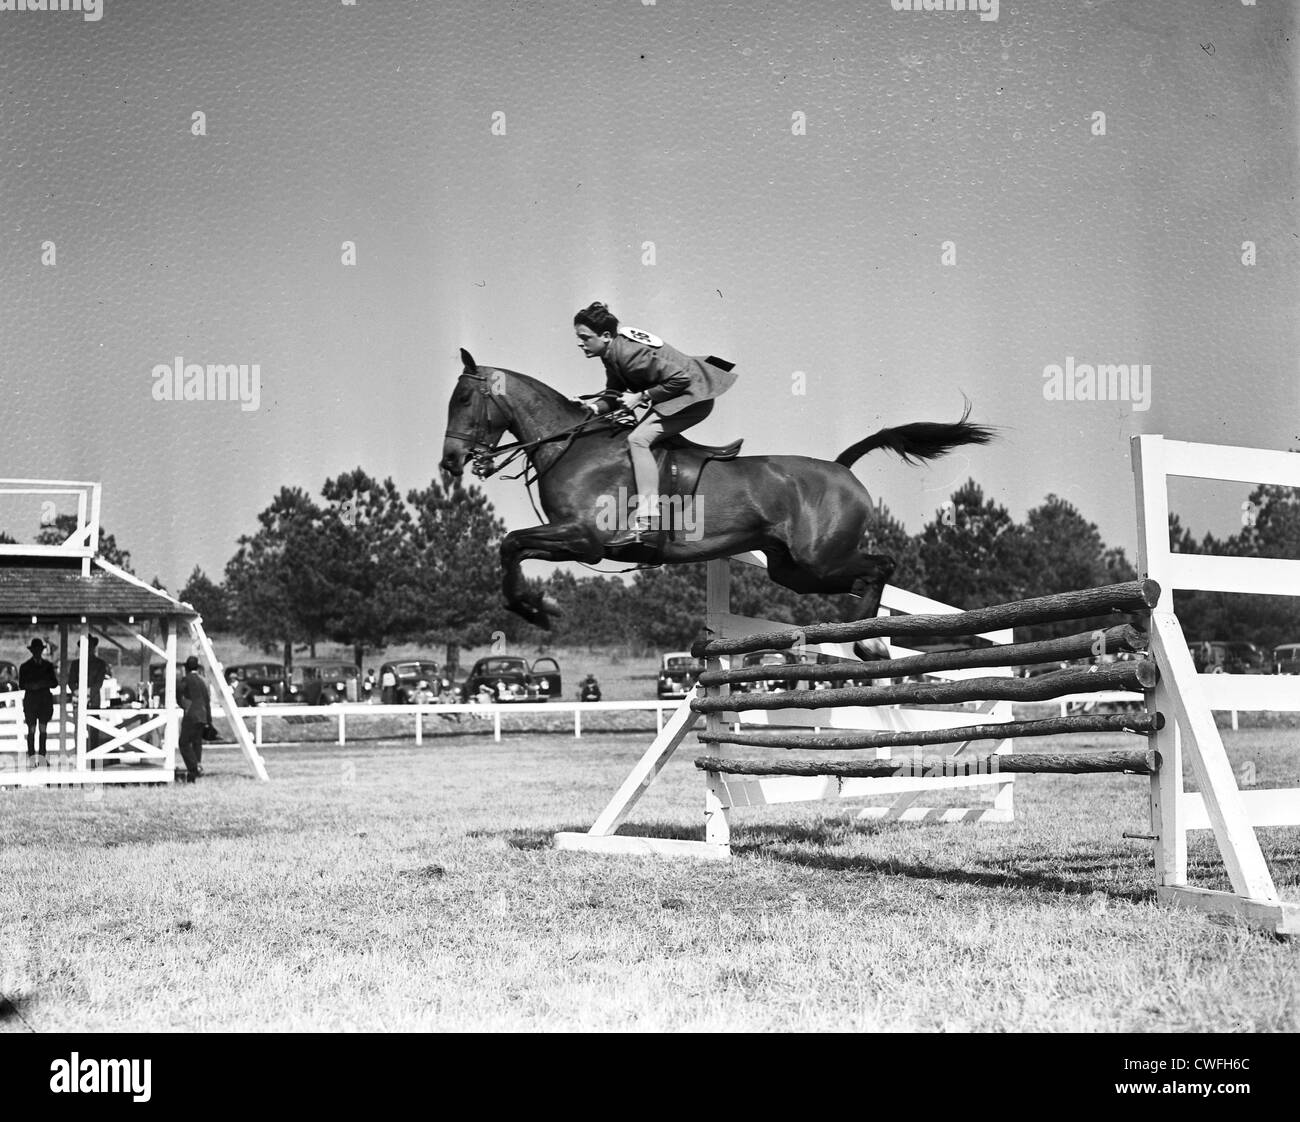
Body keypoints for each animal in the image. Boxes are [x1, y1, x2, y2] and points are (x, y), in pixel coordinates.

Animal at [440, 349, 994, 628]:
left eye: (464, 398)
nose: (450, 463)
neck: (574, 447)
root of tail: (841, 469)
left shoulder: (585, 539)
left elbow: (510, 544)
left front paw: (538, 608)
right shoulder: (573, 538)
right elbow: (511, 547)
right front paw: (533, 606)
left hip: (819, 558)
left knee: (881, 565)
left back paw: (863, 638)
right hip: (794, 569)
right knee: (861, 576)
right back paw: (854, 630)